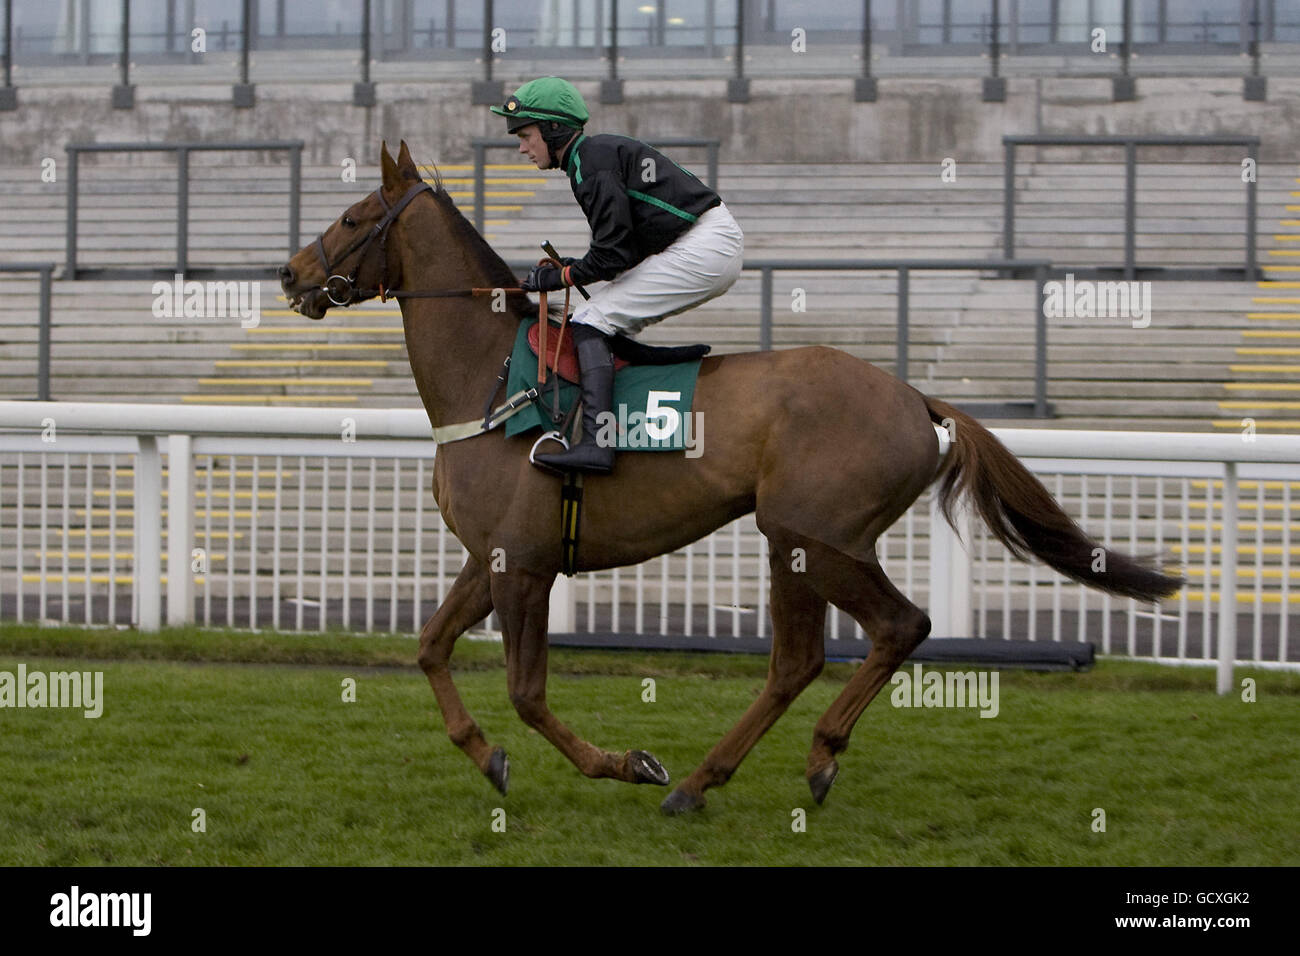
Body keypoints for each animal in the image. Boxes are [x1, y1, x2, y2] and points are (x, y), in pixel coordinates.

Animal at [278, 141, 1183, 814]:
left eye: (353, 216)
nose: (290, 274)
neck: (490, 377)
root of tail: (915, 398)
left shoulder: (524, 566)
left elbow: (527, 692)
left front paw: (625, 763)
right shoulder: (489, 556)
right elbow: (430, 649)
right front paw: (488, 756)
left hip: (813, 535)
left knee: (895, 627)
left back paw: (794, 761)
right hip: (798, 543)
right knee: (802, 659)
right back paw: (715, 778)